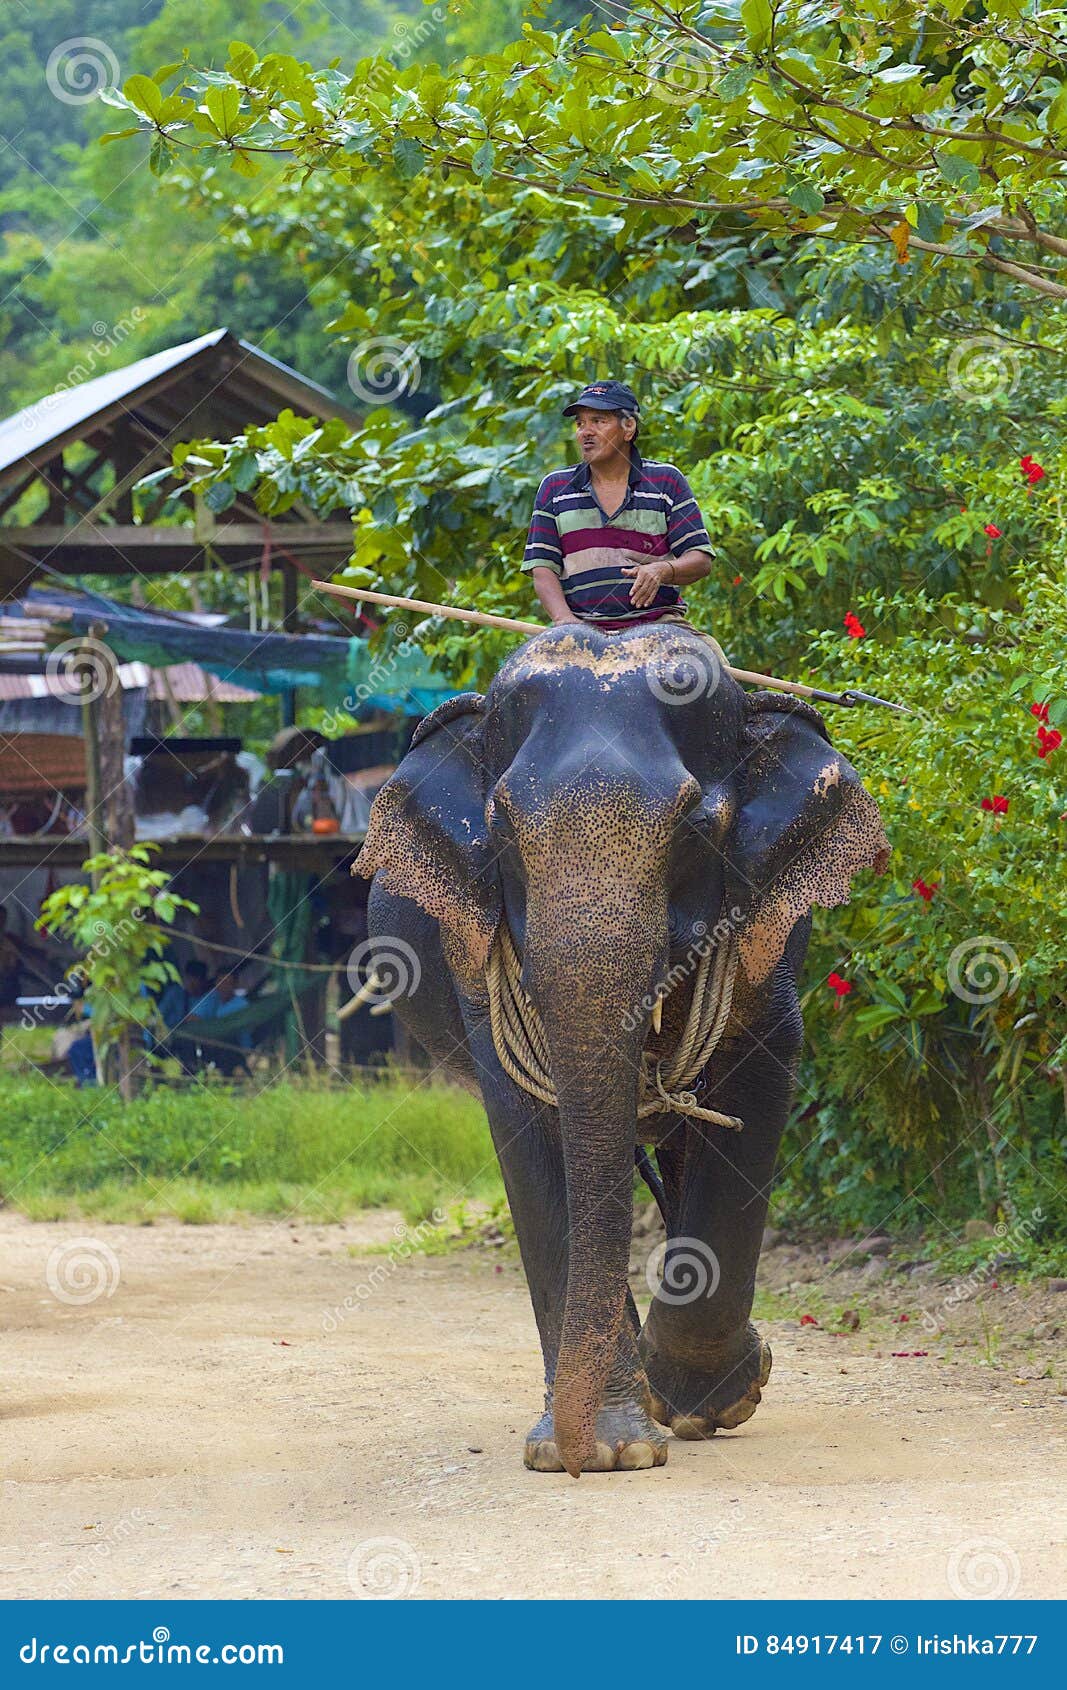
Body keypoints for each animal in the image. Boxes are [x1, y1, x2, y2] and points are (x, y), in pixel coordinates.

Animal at [354, 622, 890, 1478]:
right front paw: (605, 1449)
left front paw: (699, 1403)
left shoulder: (766, 947)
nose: (577, 1457)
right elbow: (528, 1127)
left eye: (694, 828)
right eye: (499, 831)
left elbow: (753, 1090)